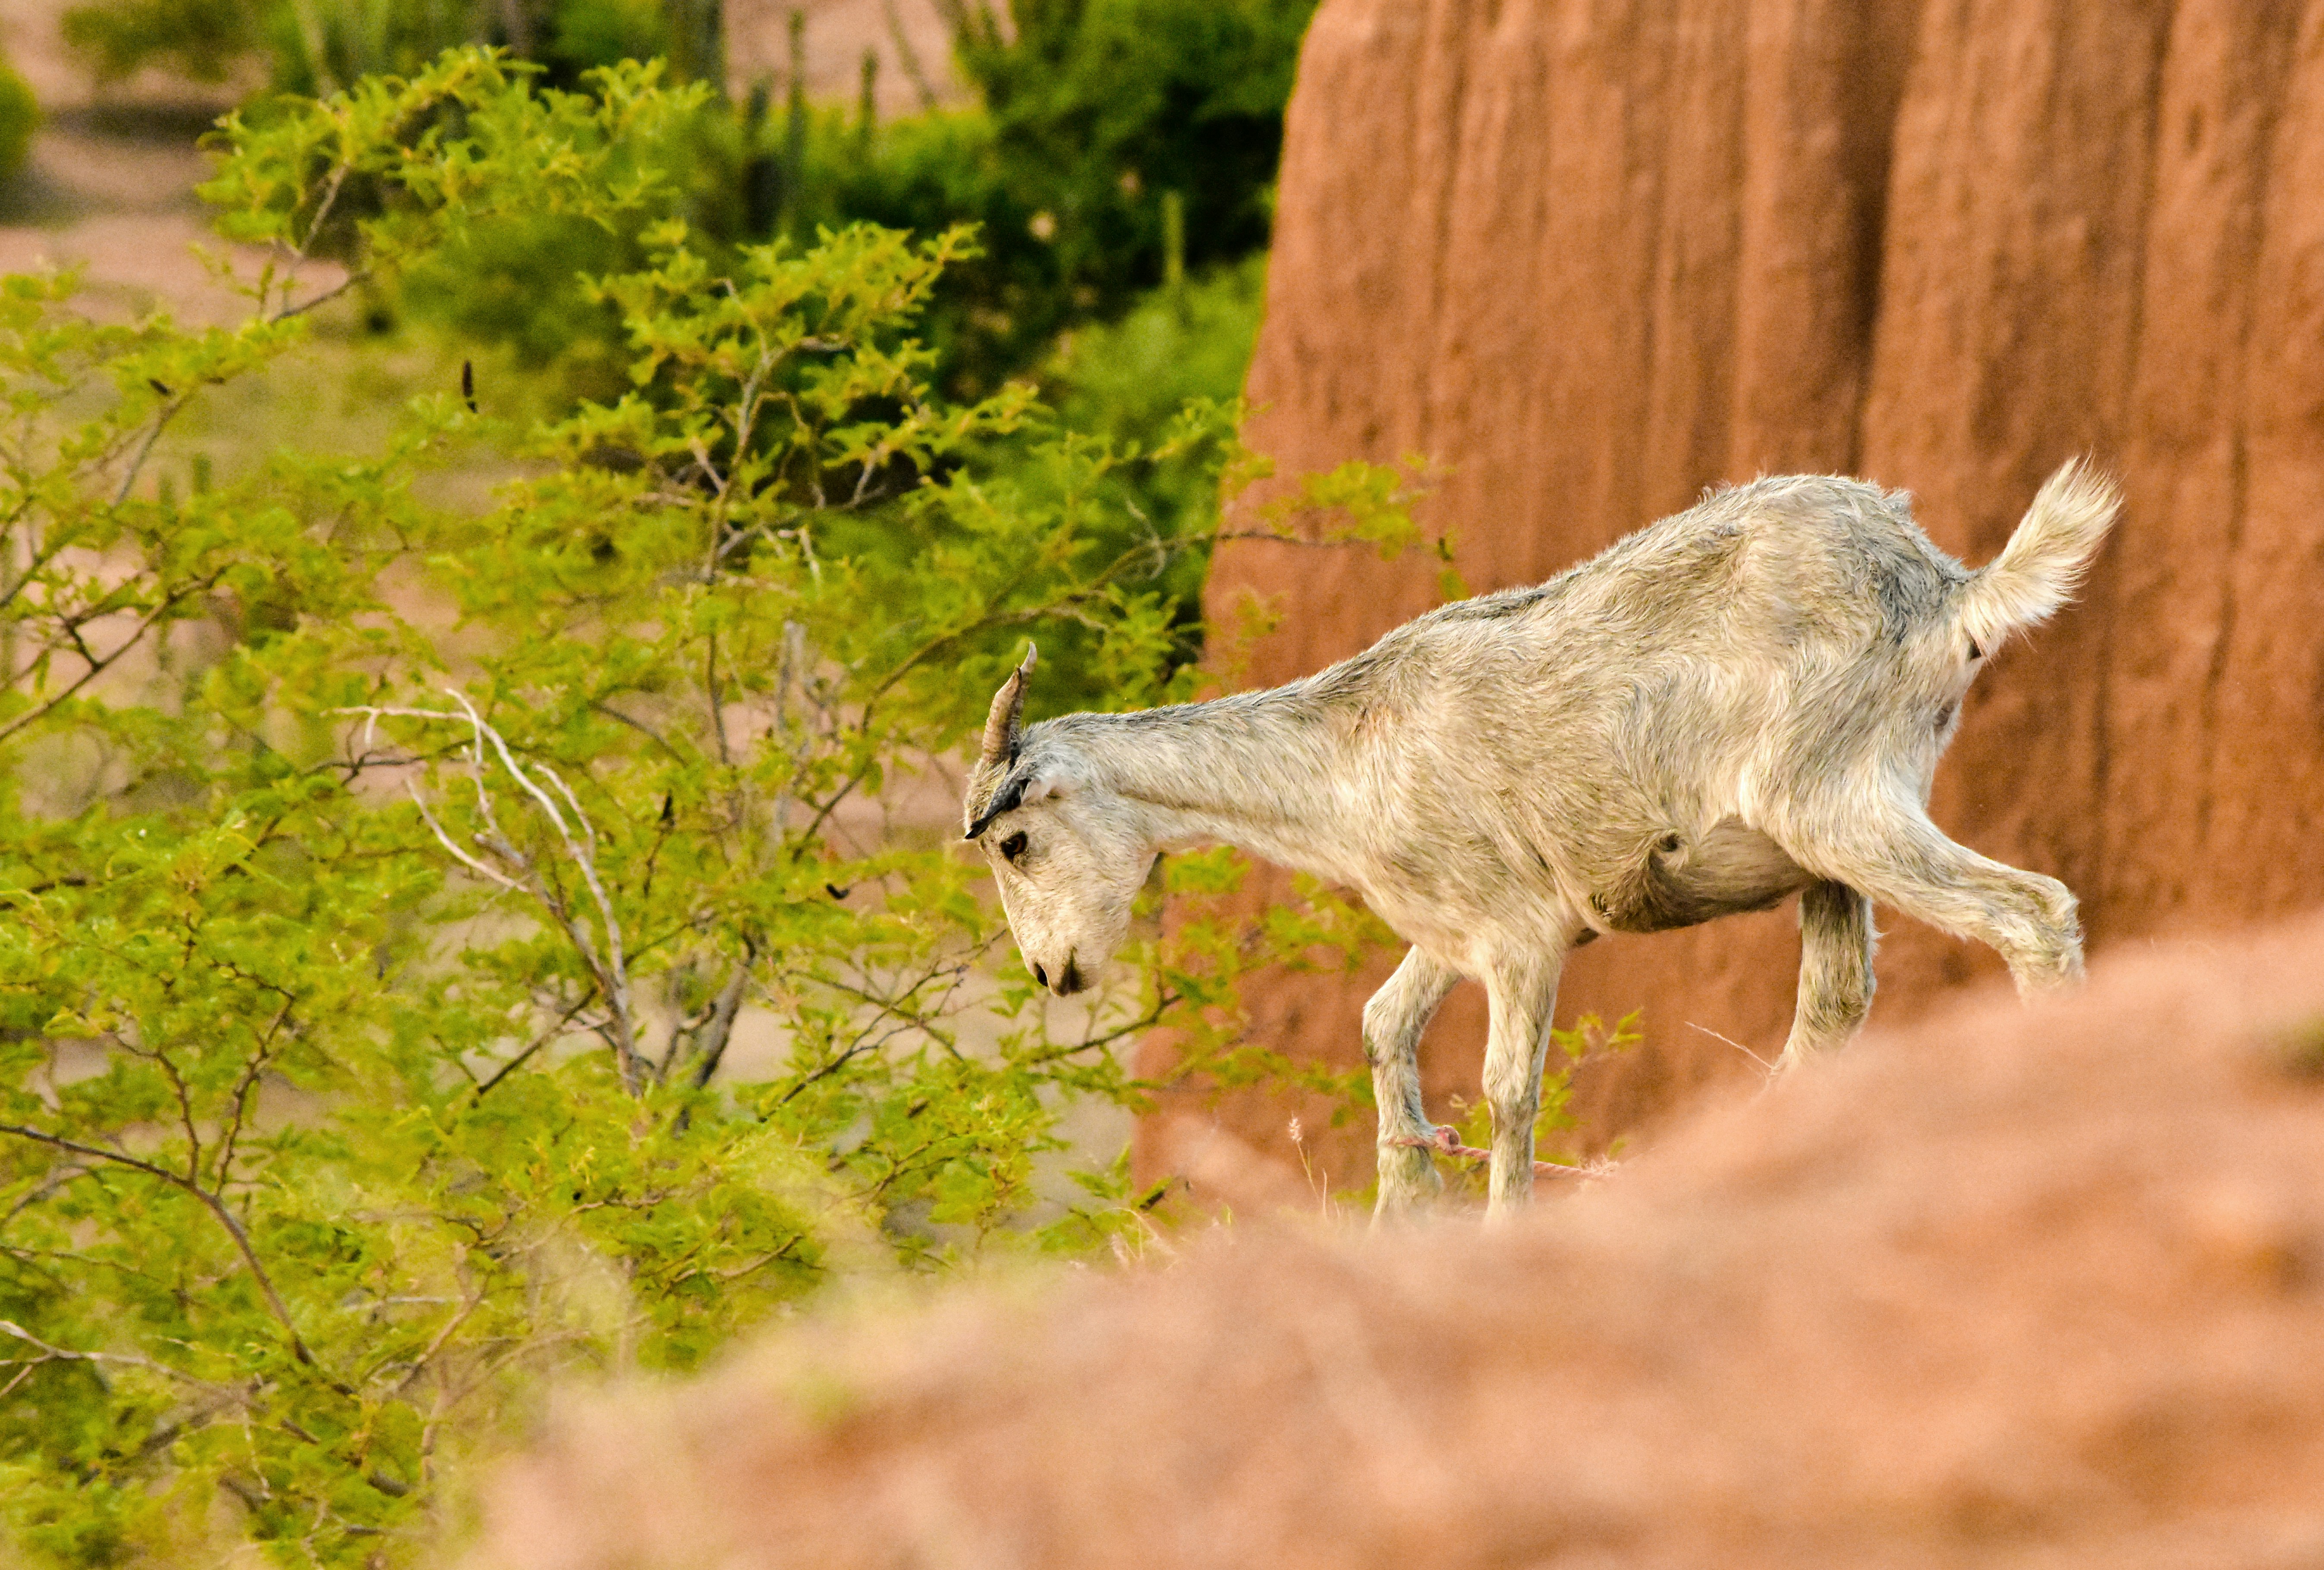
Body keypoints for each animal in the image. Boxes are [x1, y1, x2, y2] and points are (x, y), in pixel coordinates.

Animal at [963, 462, 2122, 1216]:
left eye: (1009, 841)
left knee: (2029, 912)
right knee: (1833, 1007)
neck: (1346, 754)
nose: (1053, 972)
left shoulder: (1517, 934)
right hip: (1825, 857)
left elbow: (1505, 1087)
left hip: (1839, 800)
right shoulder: (1445, 930)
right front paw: (1398, 1209)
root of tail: (1949, 592)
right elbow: (1381, 1026)